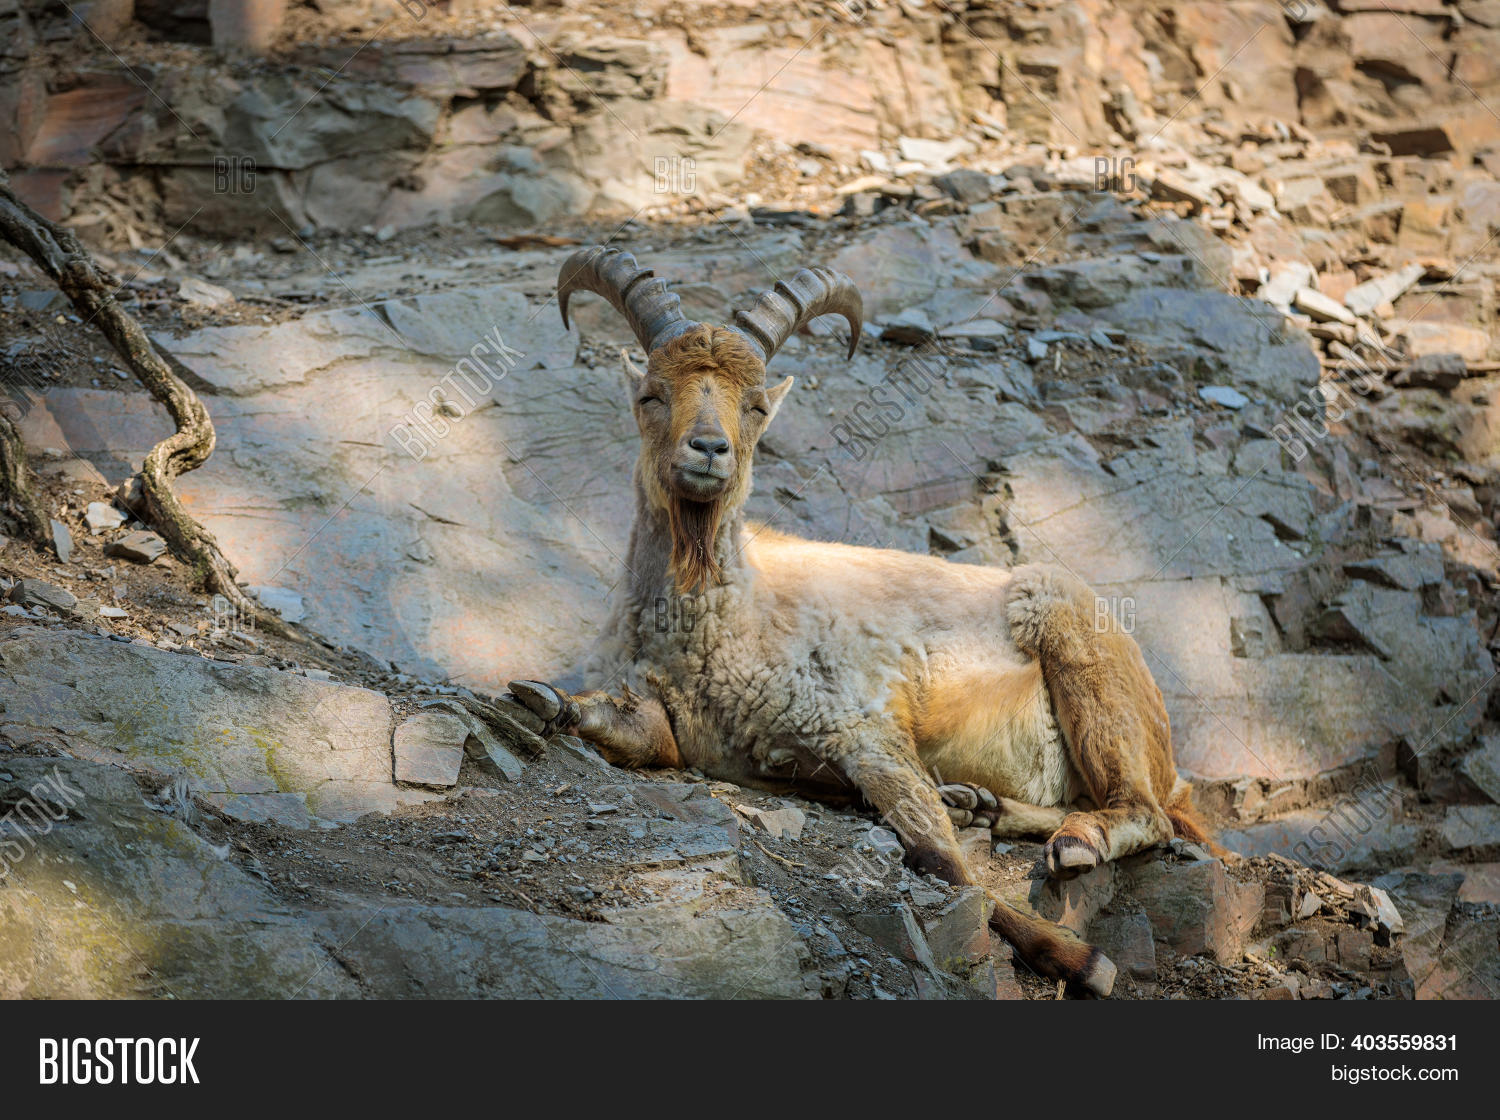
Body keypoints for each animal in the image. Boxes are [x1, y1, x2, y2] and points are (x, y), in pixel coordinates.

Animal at [508, 246, 1215, 997]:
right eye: (651, 395)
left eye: (756, 406)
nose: (708, 450)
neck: (727, 618)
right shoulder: (696, 732)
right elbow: (632, 730)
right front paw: (546, 700)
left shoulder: (865, 730)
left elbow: (945, 864)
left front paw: (1079, 958)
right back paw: (982, 805)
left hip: (1082, 654)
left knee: (1146, 810)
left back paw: (1075, 842)